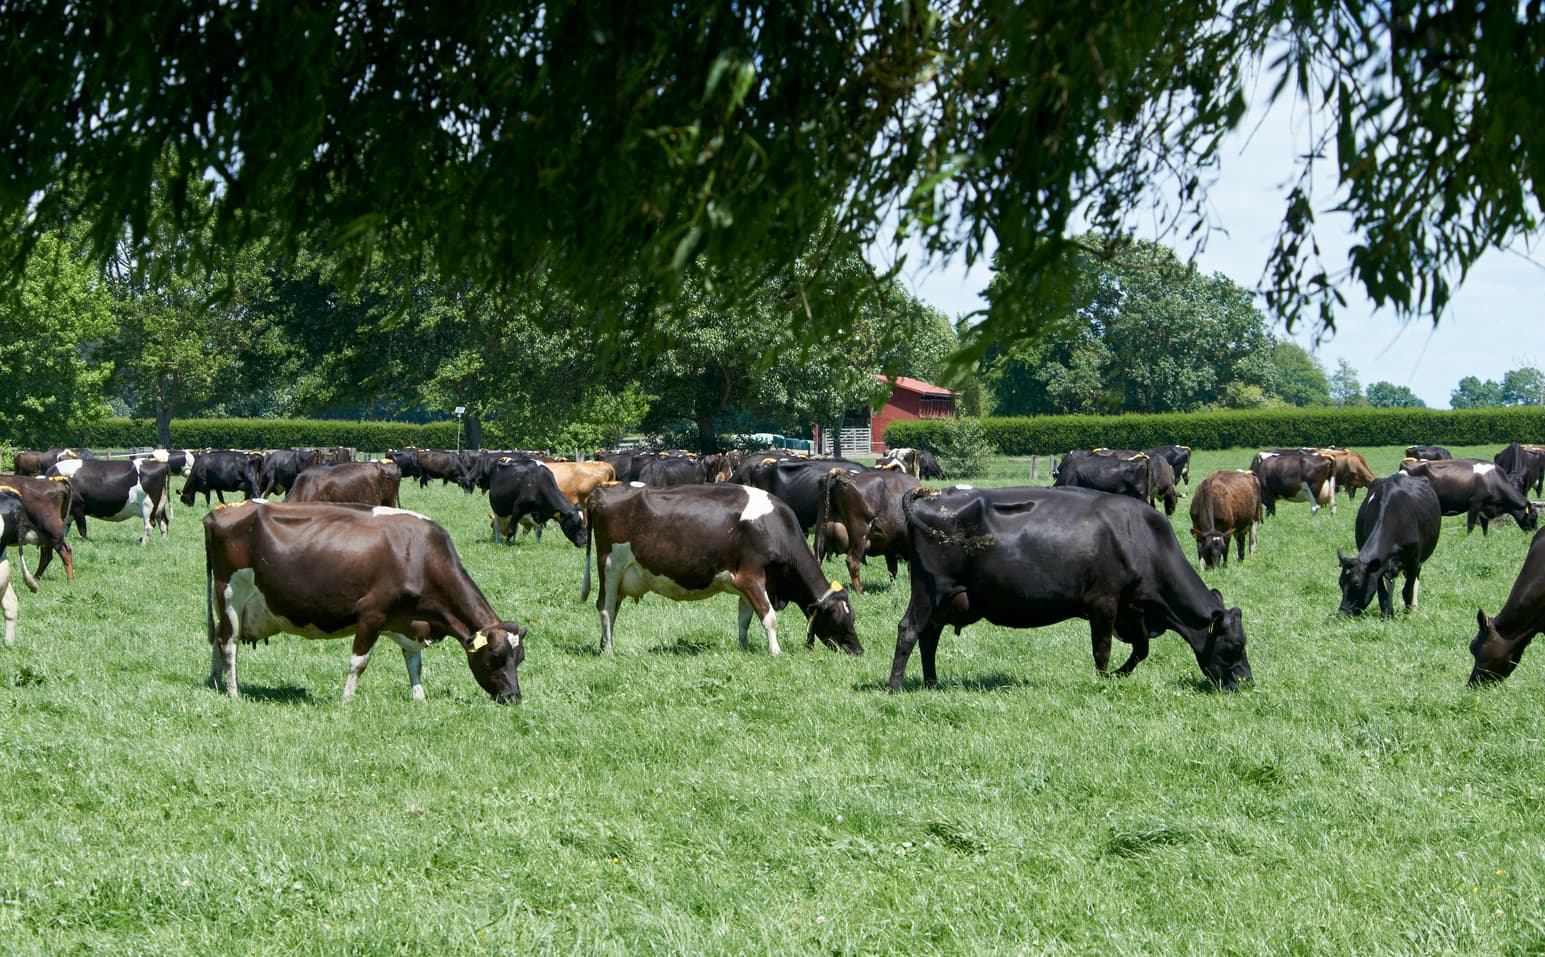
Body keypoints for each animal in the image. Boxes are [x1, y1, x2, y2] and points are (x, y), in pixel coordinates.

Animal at [204, 501, 526, 702]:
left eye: (520, 658)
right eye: (495, 657)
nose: (514, 697)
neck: (419, 556)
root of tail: (221, 511)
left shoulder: (407, 621)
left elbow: (415, 664)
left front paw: (419, 698)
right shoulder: (372, 613)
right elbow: (359, 662)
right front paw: (346, 700)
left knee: (218, 638)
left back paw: (216, 683)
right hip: (231, 594)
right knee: (229, 644)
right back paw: (233, 692)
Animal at [582, 482, 861, 656]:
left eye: (853, 616)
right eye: (837, 617)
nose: (859, 650)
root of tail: (601, 491)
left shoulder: (748, 584)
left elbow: (745, 619)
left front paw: (745, 648)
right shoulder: (750, 578)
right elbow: (769, 617)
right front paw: (775, 651)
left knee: (613, 609)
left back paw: (605, 644)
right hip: (610, 565)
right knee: (605, 608)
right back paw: (608, 650)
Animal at [889, 485, 1252, 691]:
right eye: (1234, 646)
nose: (1248, 683)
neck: (1142, 539)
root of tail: (930, 496)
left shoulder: (1130, 609)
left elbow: (1141, 649)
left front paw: (1118, 675)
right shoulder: (1103, 602)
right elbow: (1102, 649)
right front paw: (1103, 682)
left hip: (946, 598)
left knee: (929, 637)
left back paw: (932, 683)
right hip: (928, 590)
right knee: (909, 630)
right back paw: (896, 687)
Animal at [1336, 473, 1442, 617]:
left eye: (1357, 585)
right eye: (1340, 583)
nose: (1342, 614)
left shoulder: (1414, 560)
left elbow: (1407, 590)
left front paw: (1407, 616)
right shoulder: (1377, 567)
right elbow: (1382, 592)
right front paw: (1386, 615)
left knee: (1415, 582)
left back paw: (1413, 610)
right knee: (1391, 585)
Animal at [1398, 458, 1538, 534]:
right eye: (1533, 517)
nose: (1534, 532)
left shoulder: (1484, 508)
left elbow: (1485, 527)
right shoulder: (1475, 503)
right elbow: (1470, 525)